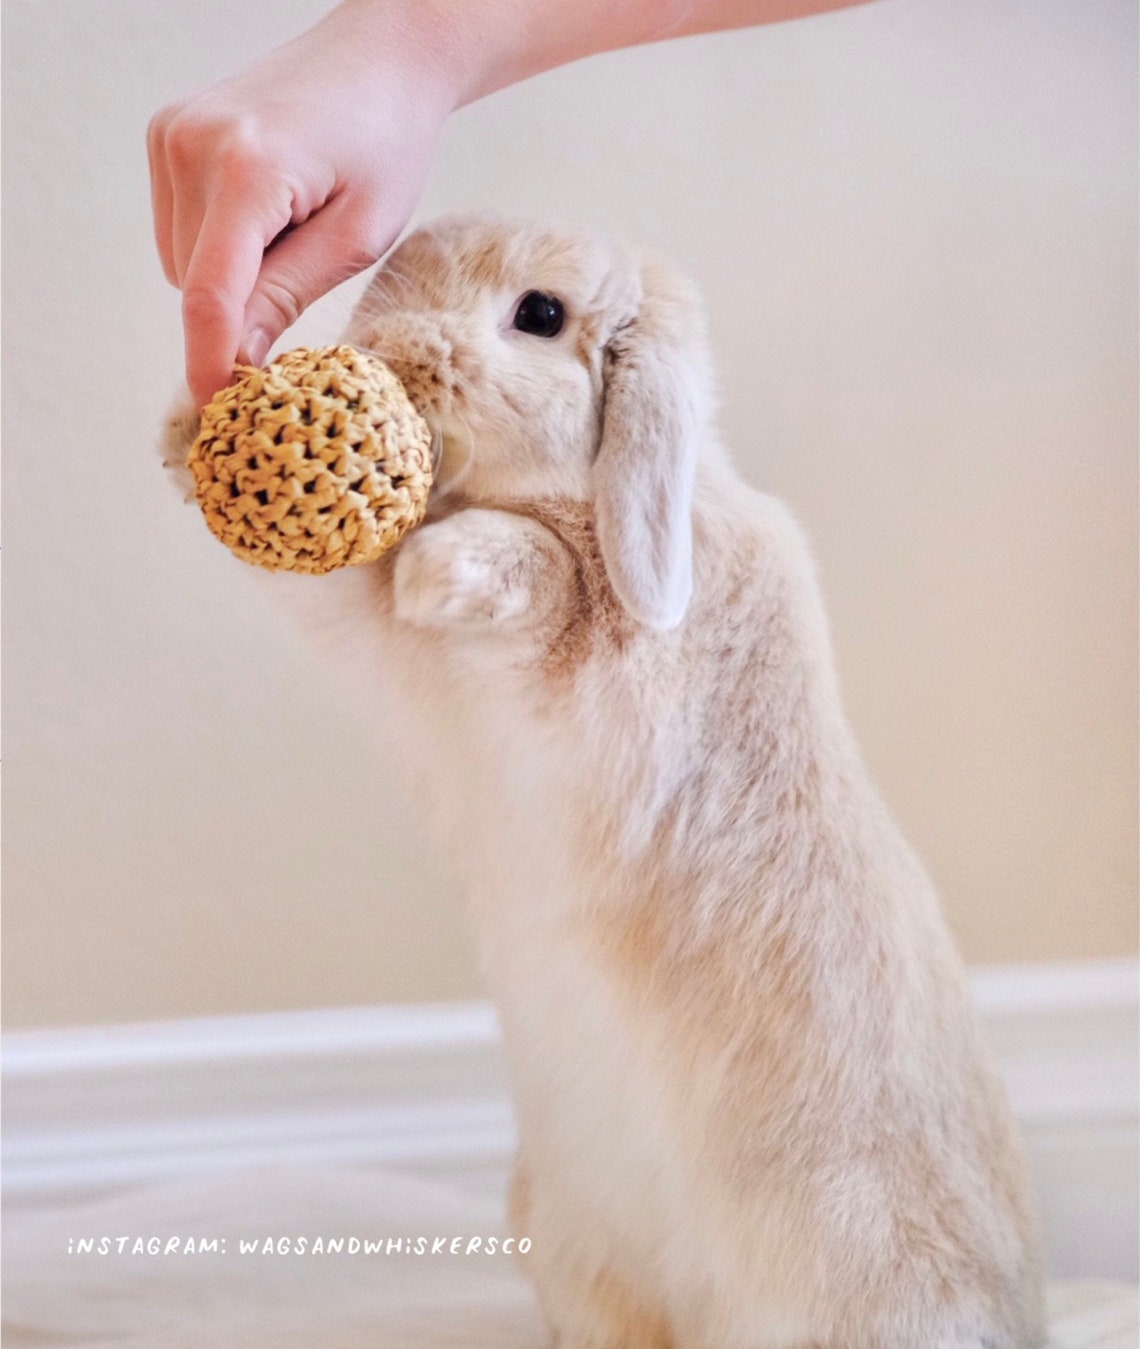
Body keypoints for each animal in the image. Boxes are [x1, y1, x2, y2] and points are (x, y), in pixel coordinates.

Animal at [163, 214, 1044, 1348]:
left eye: (540, 313)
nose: (391, 351)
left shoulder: (609, 673)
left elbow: (550, 584)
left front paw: (450, 565)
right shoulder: (394, 656)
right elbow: (349, 592)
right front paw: (187, 422)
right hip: (576, 1256)